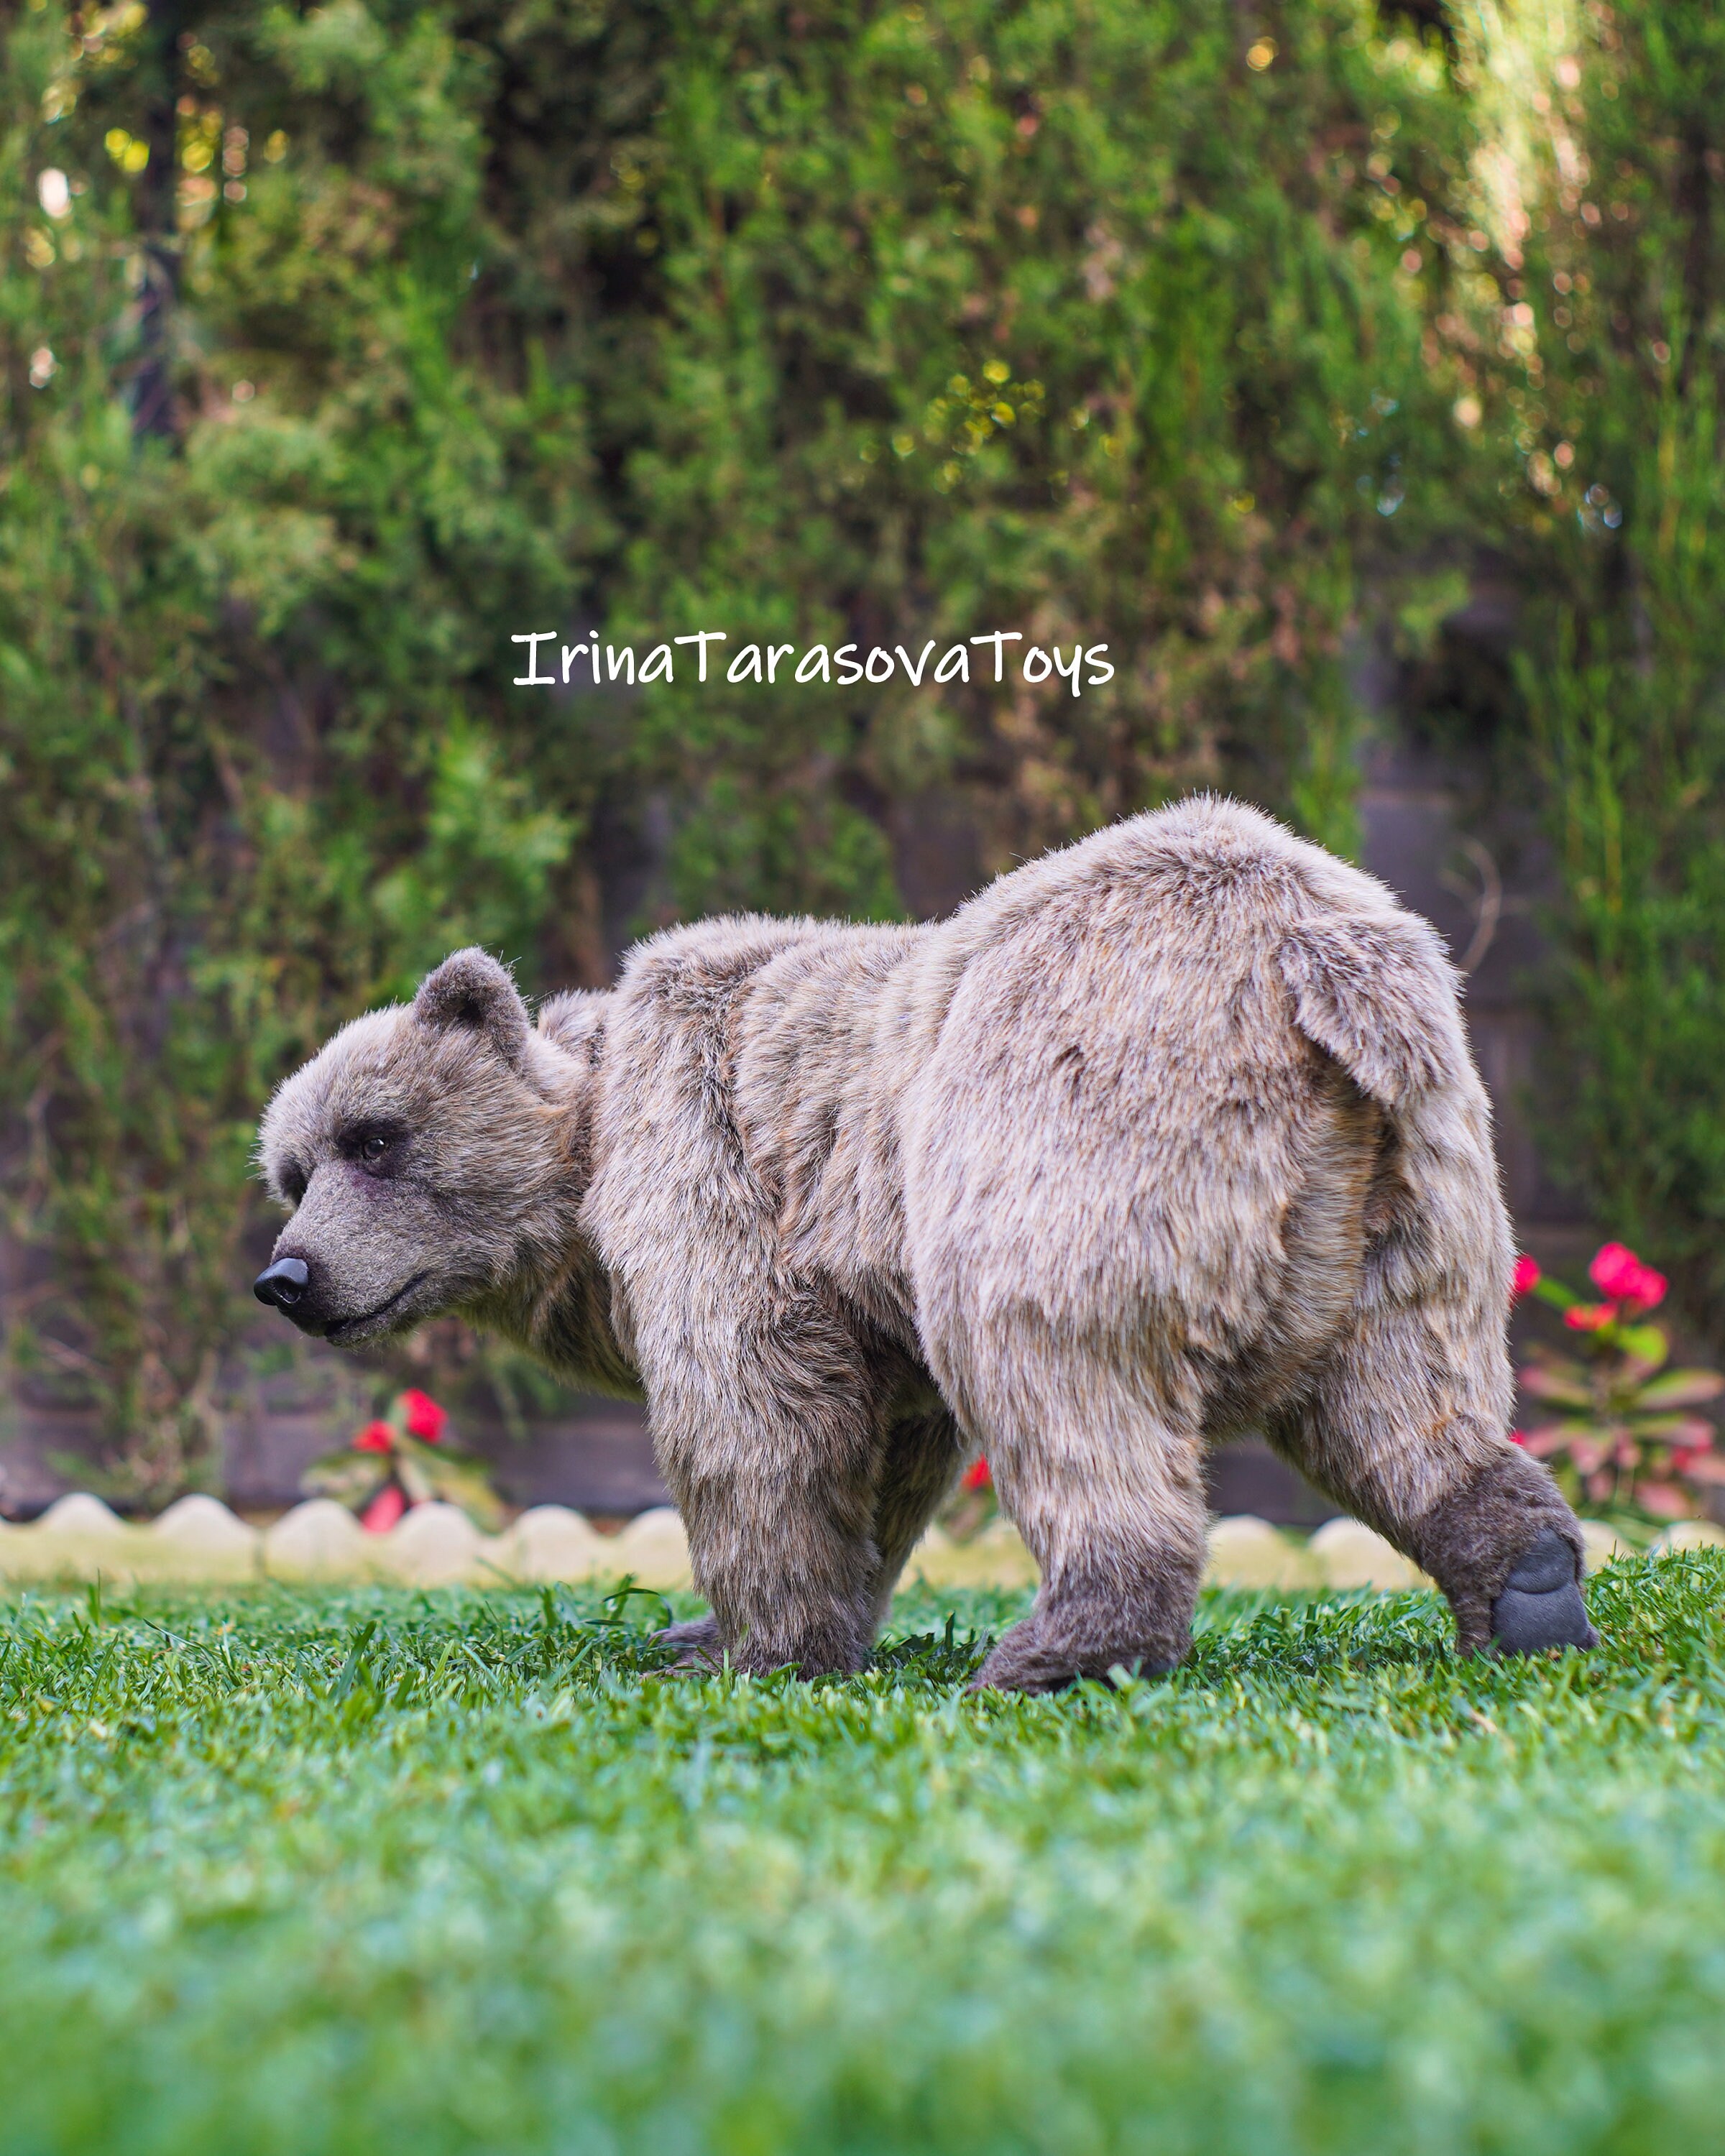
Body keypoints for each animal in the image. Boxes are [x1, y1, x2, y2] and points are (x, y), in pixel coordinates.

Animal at [253, 794, 1596, 1688]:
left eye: (375, 1138)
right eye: (290, 1168)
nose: (288, 1276)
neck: (589, 1167)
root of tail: (1316, 950)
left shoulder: (720, 1181)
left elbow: (755, 1422)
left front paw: (743, 1646)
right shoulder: (862, 1300)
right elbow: (885, 1458)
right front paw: (733, 1624)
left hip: (1078, 1122)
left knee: (1059, 1380)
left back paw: (1057, 1650)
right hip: (1408, 1201)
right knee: (1403, 1401)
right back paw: (1529, 1587)